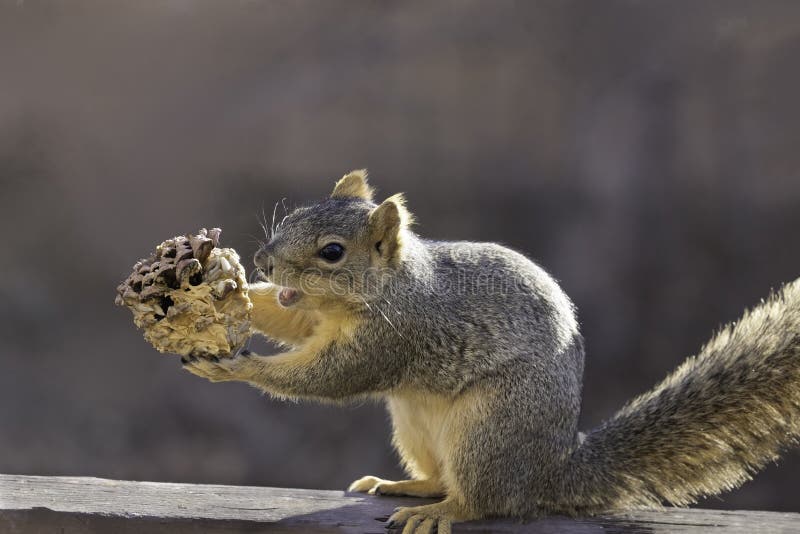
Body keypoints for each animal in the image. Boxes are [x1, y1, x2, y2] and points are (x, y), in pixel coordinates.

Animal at [182, 170, 800, 533]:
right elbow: (287, 319)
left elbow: (330, 378)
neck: (388, 287)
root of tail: (553, 470)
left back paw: (439, 513)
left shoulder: (394, 336)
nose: (262, 260)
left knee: (484, 501)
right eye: (290, 218)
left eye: (332, 252)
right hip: (413, 424)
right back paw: (407, 485)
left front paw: (238, 366)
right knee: (443, 476)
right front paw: (224, 288)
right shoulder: (311, 316)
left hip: (489, 428)